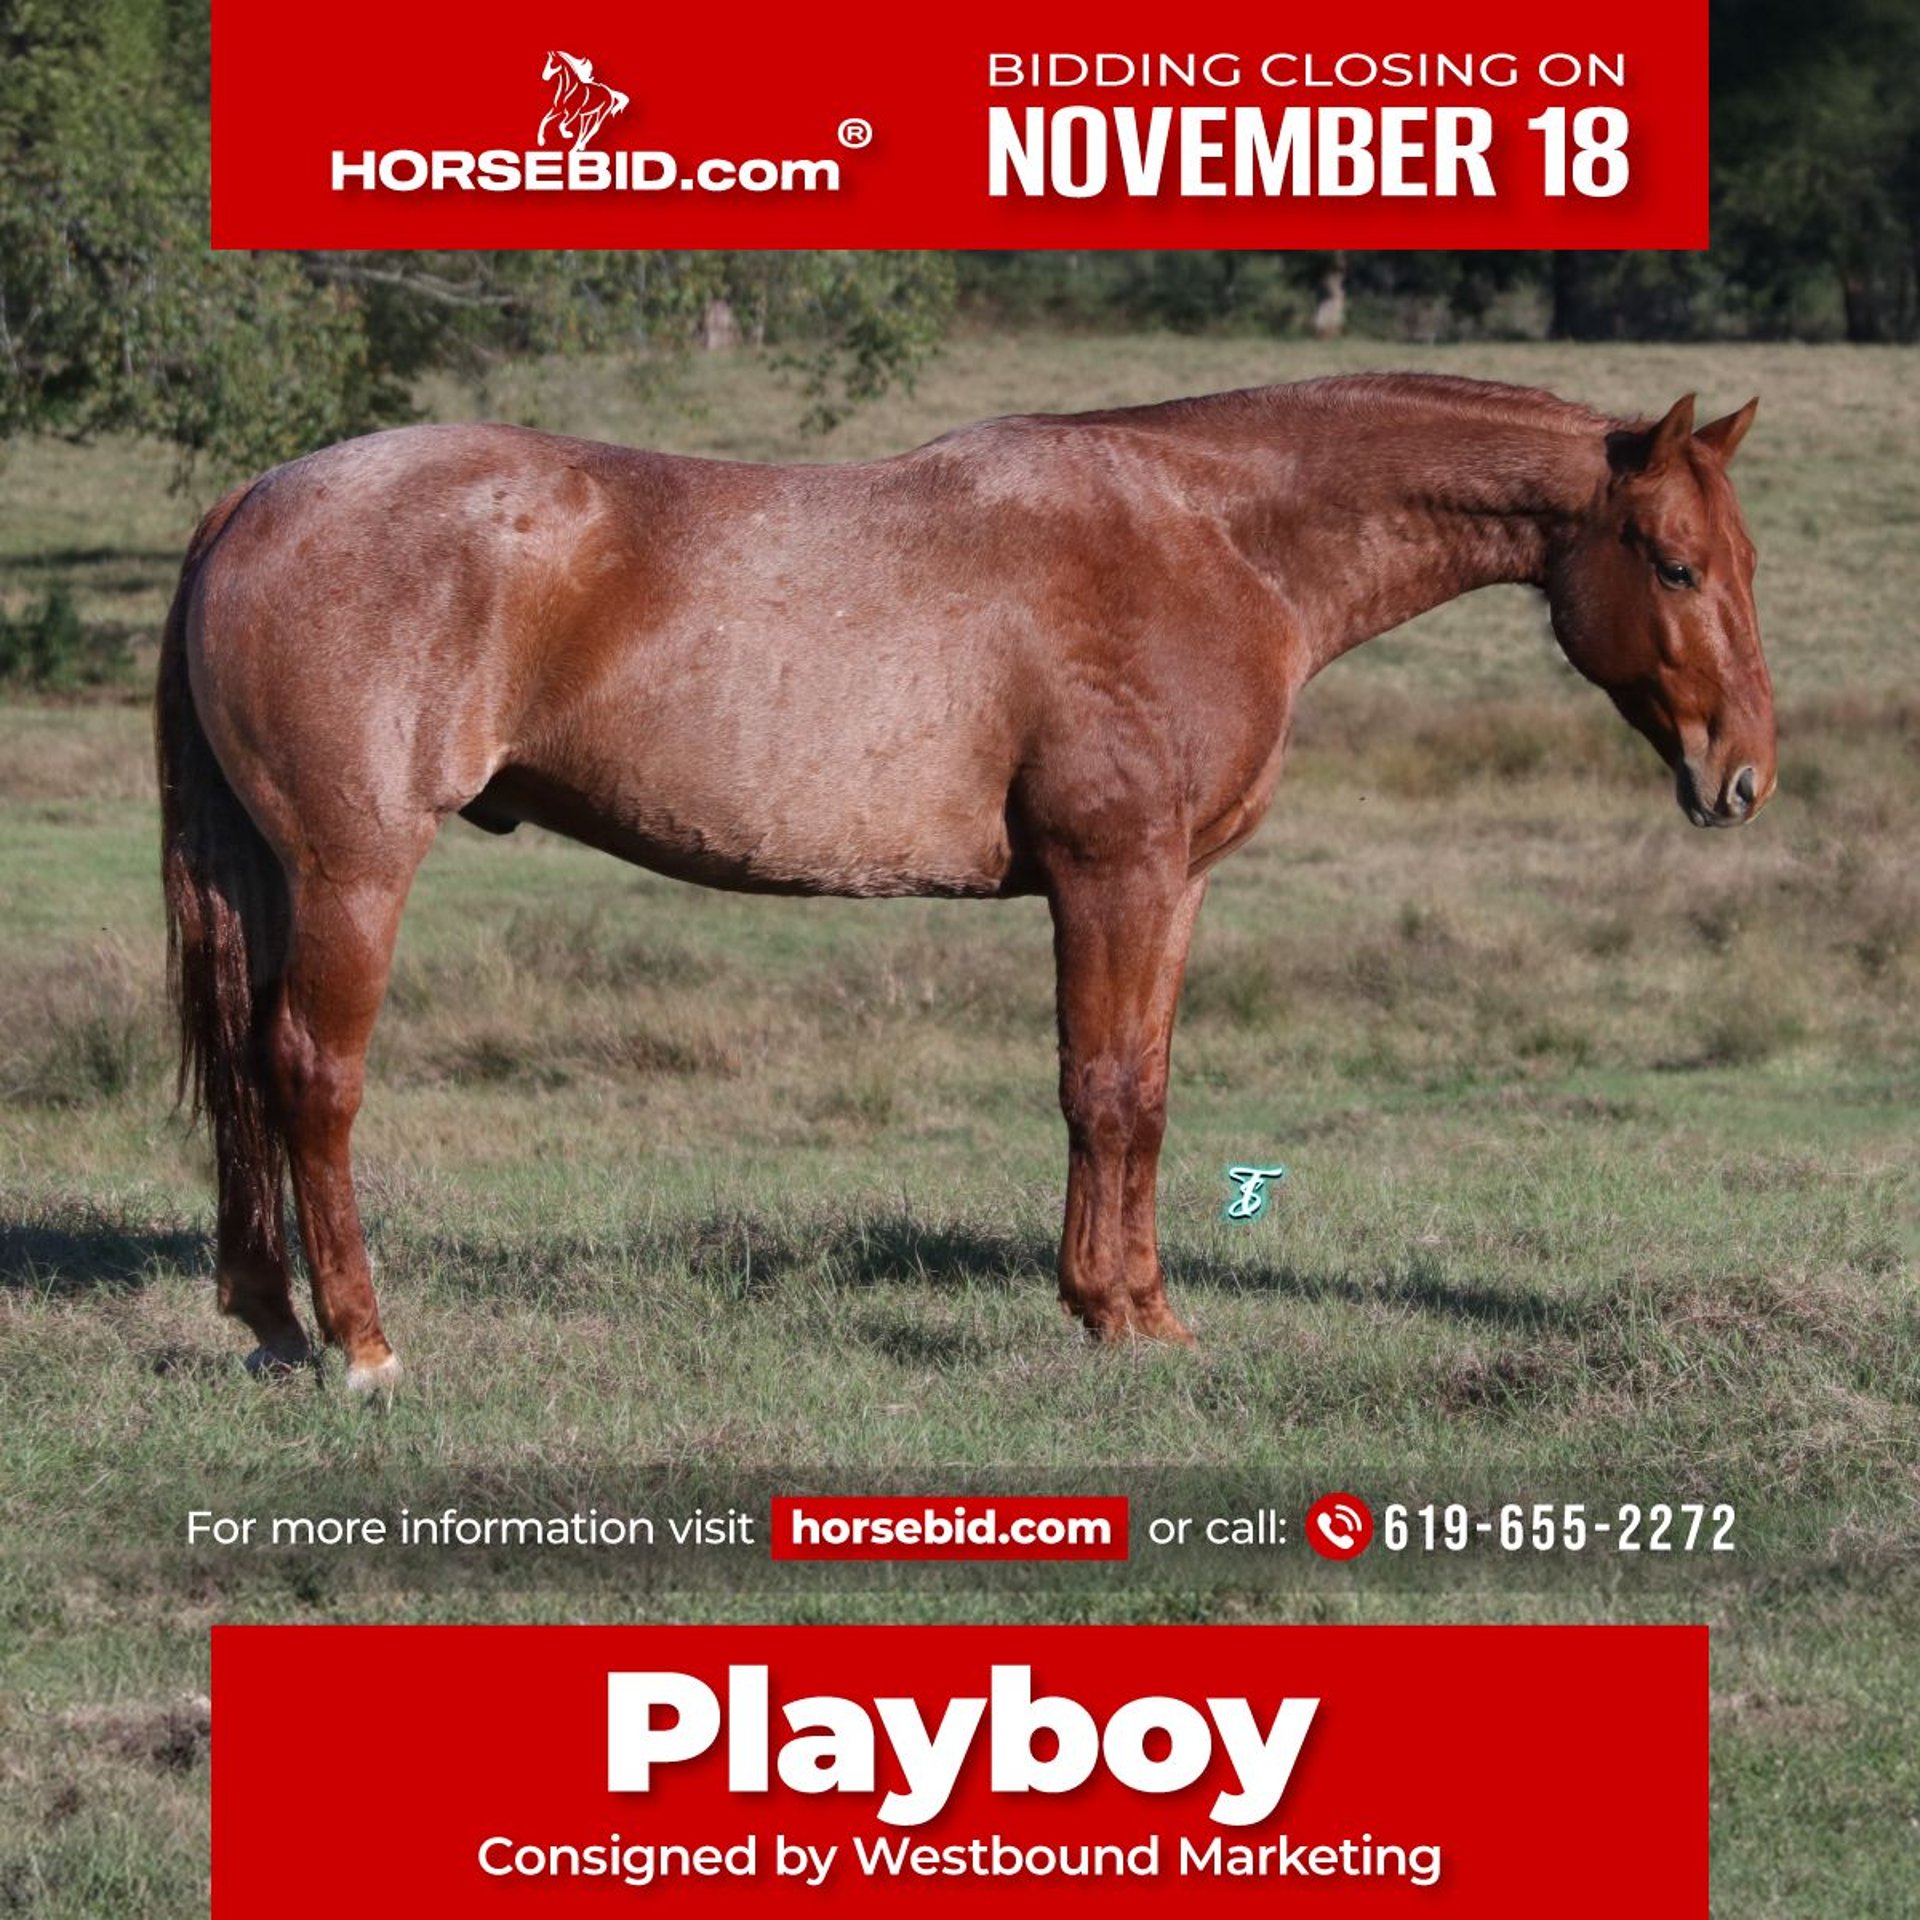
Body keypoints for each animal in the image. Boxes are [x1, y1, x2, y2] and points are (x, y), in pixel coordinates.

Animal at [155, 374, 1774, 1394]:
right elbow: (1100, 1092)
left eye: (1739, 559)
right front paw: (1106, 1316)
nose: (1741, 775)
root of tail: (256, 499)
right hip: (354, 874)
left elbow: (1147, 1094)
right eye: (1674, 564)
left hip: (274, 880)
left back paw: (272, 1322)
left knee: (252, 1074)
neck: (1216, 539)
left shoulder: (1174, 889)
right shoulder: (1110, 878)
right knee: (311, 1079)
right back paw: (363, 1348)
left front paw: (1152, 1314)